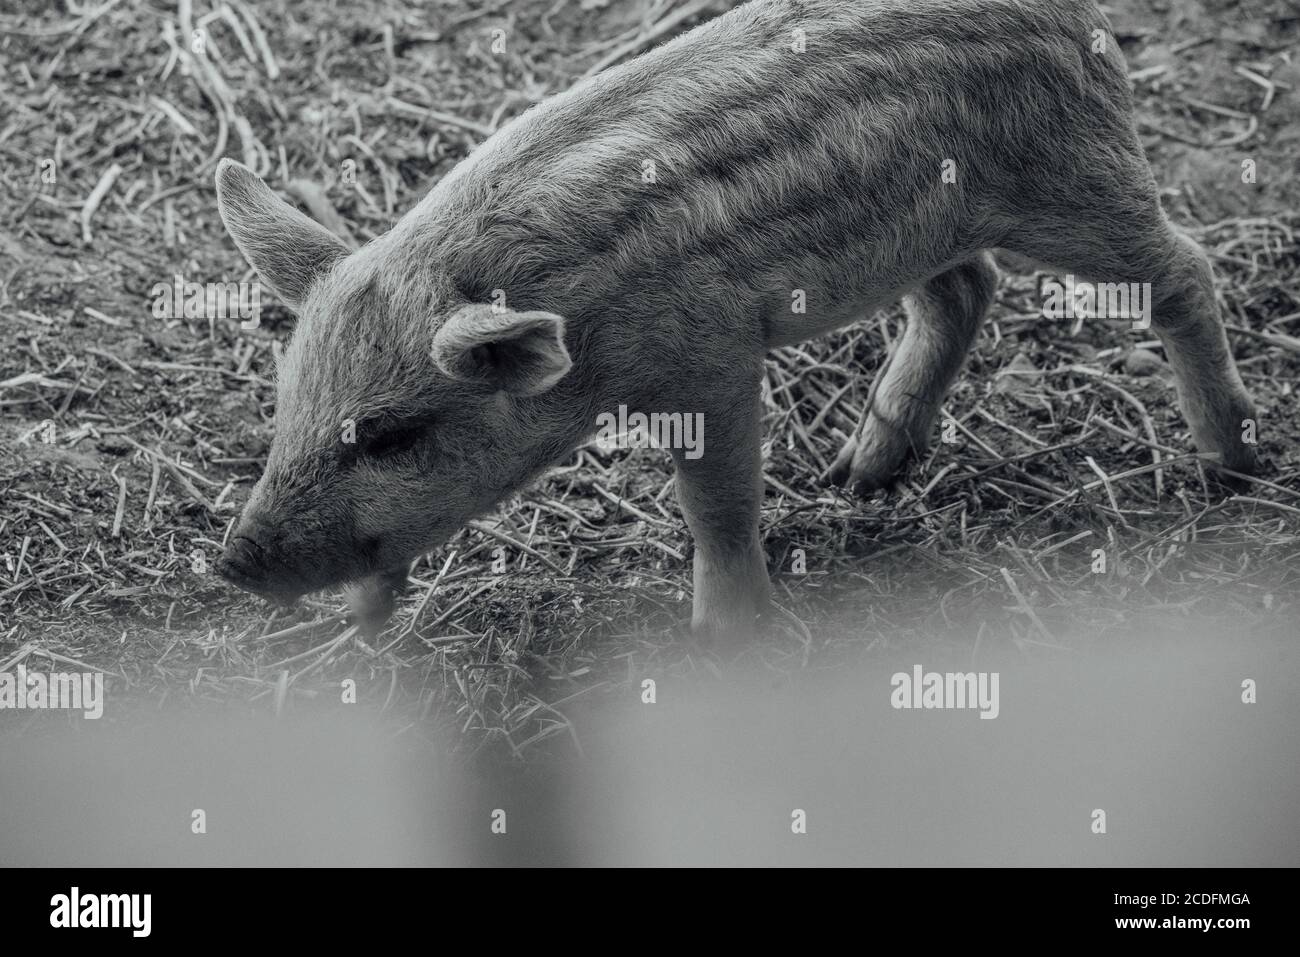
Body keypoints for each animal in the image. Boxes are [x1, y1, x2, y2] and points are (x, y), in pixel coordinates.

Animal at [214, 0, 1259, 645]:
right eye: (285, 404)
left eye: (390, 434)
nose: (234, 561)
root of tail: (1080, 18)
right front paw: (360, 626)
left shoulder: (710, 358)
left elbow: (714, 499)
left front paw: (723, 641)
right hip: (934, 228)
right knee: (965, 290)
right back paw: (859, 476)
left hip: (1077, 182)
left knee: (1183, 270)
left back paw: (1233, 468)